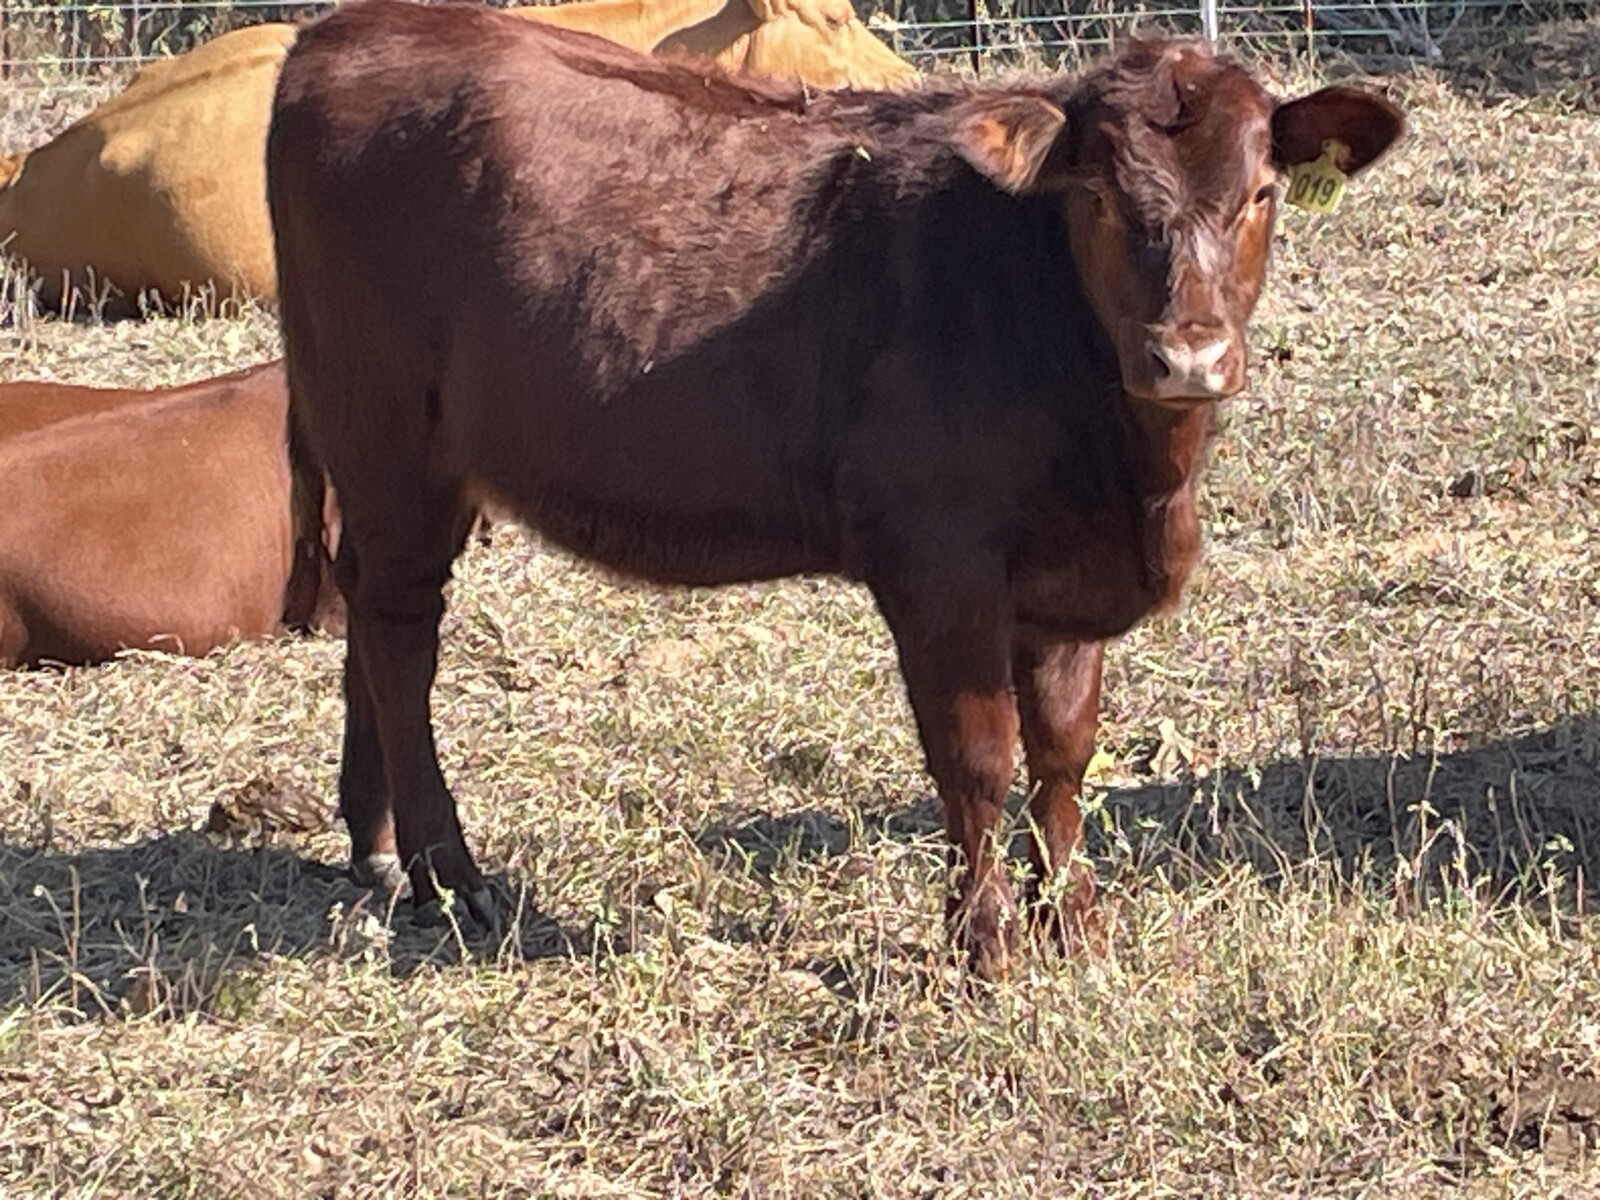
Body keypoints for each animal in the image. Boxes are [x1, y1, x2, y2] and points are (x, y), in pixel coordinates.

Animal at [267, 0, 1403, 979]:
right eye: (1096, 198)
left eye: (1260, 193)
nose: (1187, 356)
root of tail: (348, 28)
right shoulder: (937, 562)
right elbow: (977, 756)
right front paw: (986, 942)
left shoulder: (1062, 578)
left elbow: (1064, 753)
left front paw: (1075, 923)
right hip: (387, 438)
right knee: (400, 629)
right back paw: (447, 872)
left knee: (371, 620)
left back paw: (377, 848)